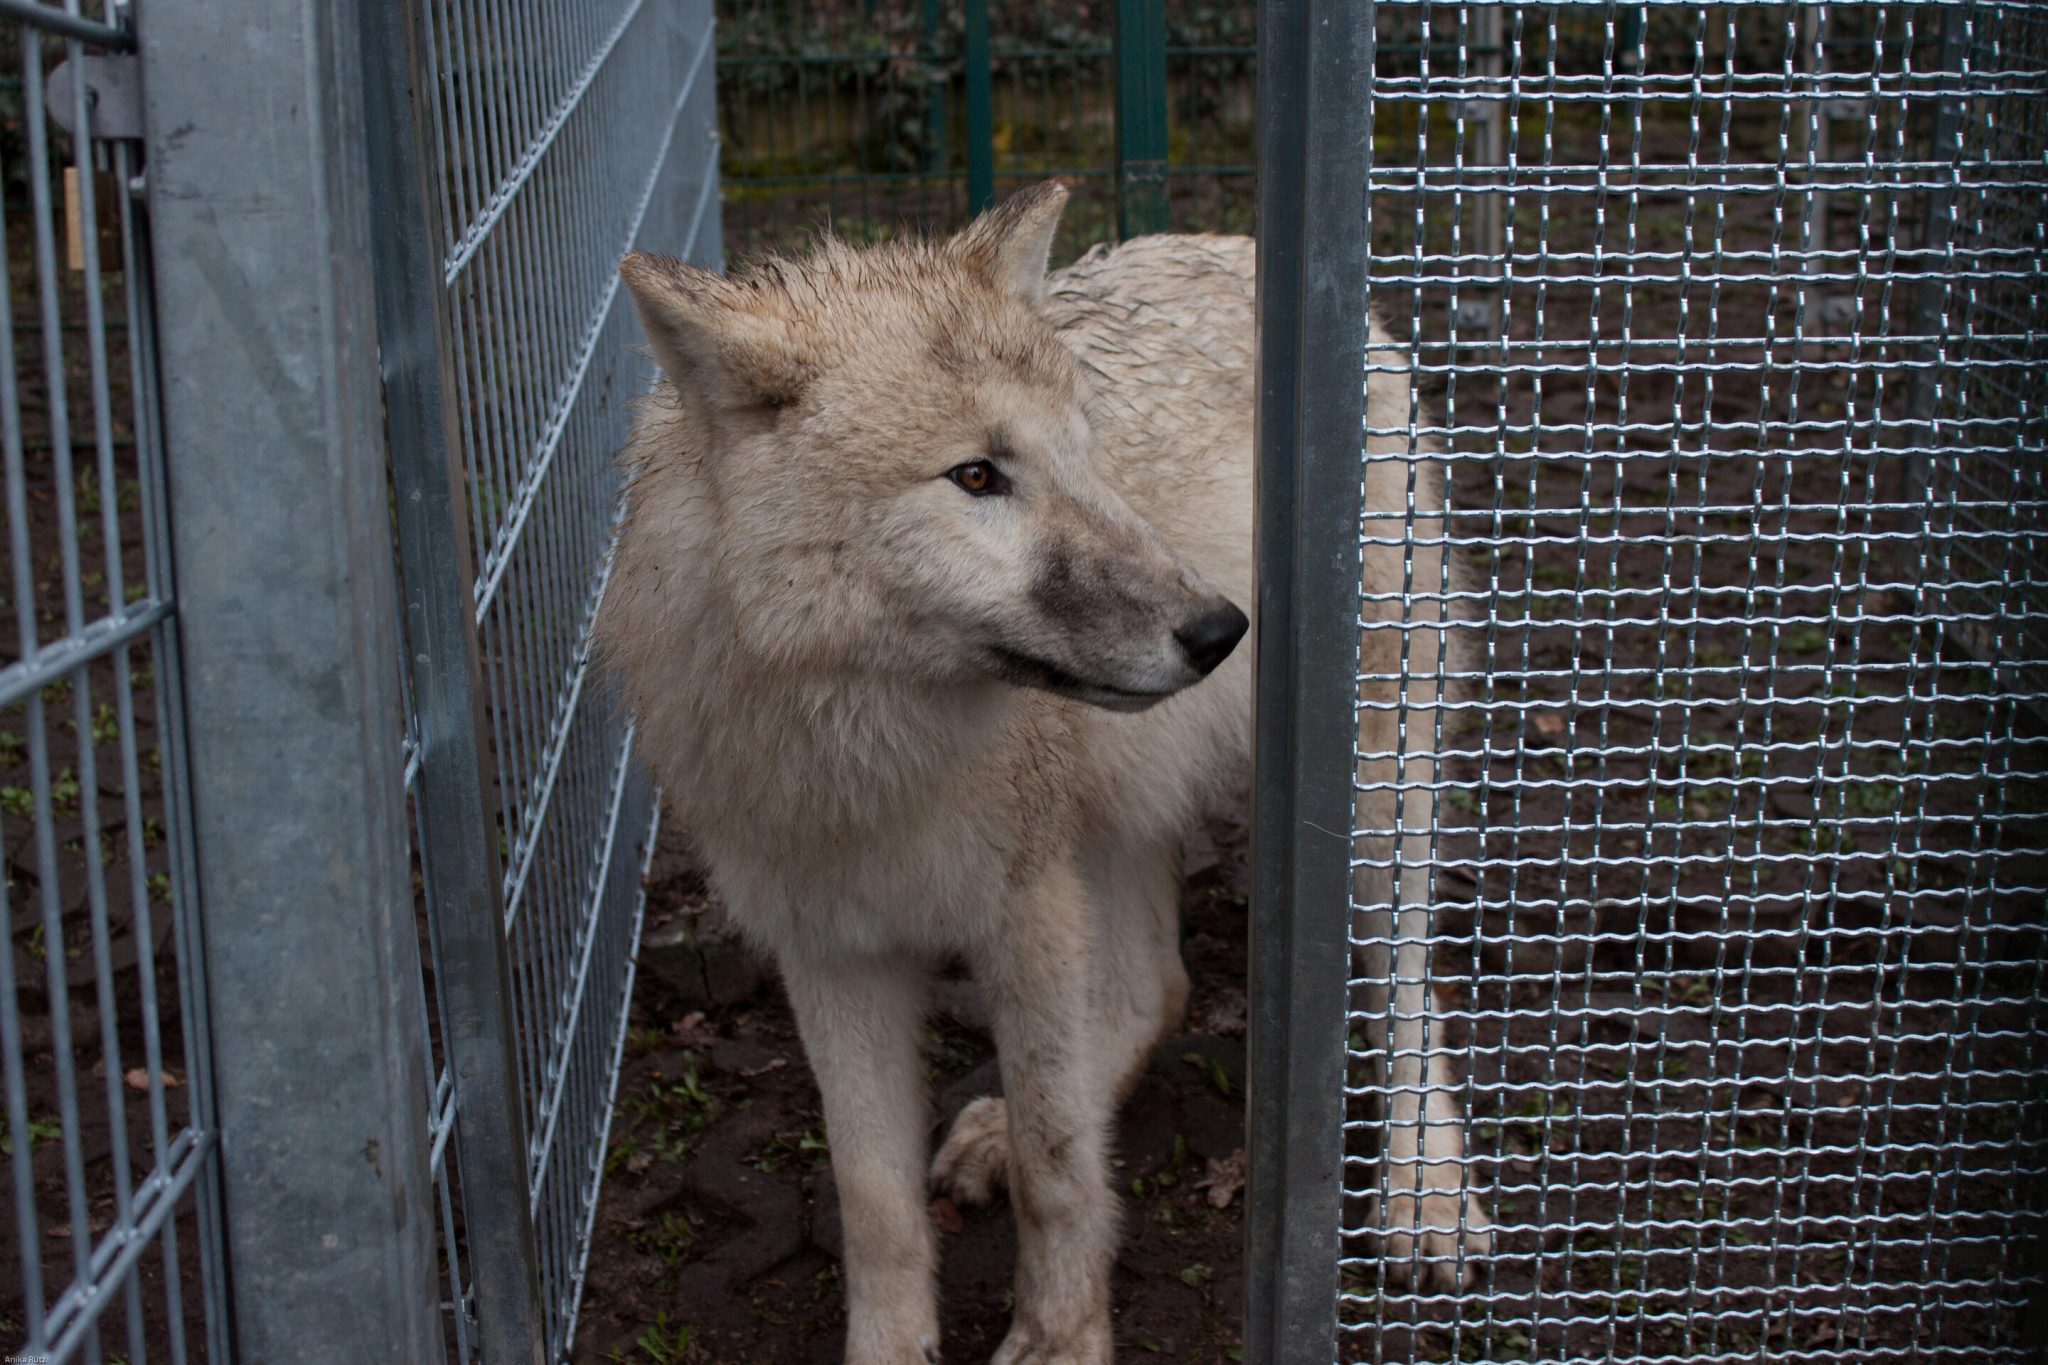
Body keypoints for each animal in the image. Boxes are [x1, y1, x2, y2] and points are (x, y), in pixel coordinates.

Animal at [597, 181, 1490, 1364]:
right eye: (976, 476)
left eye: (1084, 454)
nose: (1219, 630)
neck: (863, 749)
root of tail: (1237, 243)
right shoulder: (829, 947)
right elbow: (875, 1202)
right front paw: (894, 1346)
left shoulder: (1026, 911)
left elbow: (1060, 1174)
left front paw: (1061, 1337)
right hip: (1110, 817)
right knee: (1156, 988)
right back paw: (990, 1129)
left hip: (1368, 798)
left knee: (1402, 985)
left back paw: (1425, 1197)